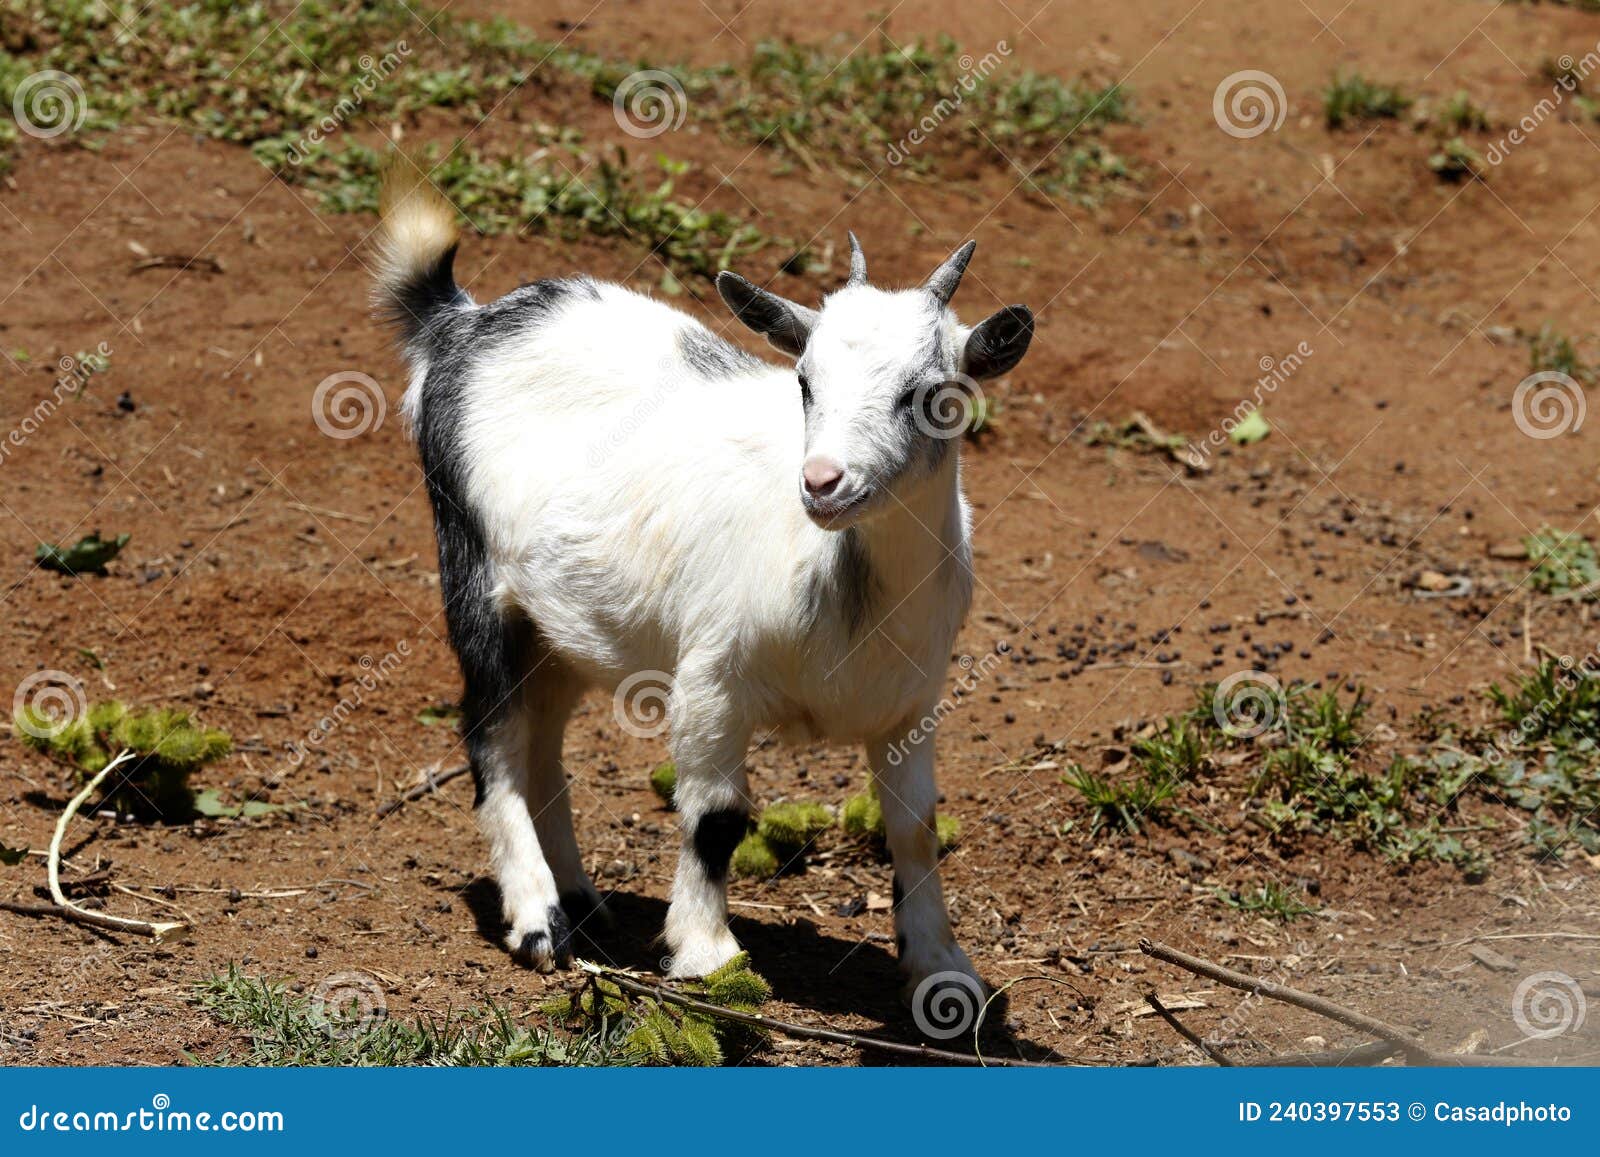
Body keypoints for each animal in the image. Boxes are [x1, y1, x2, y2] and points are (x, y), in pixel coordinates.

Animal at [372, 161, 1034, 1018]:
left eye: (934, 393)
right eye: (805, 381)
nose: (823, 482)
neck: (840, 579)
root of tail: (462, 322)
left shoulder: (909, 704)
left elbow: (916, 827)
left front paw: (943, 968)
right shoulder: (712, 678)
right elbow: (716, 816)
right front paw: (705, 952)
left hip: (561, 625)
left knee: (540, 737)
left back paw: (582, 898)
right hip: (475, 575)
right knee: (492, 736)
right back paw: (538, 918)